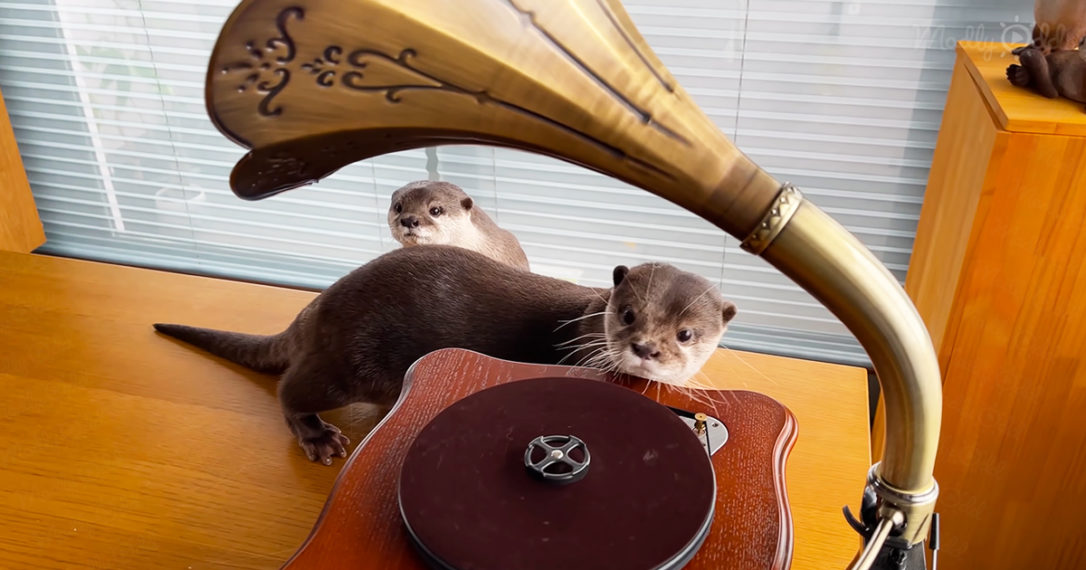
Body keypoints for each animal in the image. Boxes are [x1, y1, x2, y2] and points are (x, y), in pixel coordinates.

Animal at [153, 246, 736, 465]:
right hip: (346, 361)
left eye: (686, 334)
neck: (587, 321)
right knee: (291, 387)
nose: (646, 348)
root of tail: (318, 307)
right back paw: (317, 436)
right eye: (629, 315)